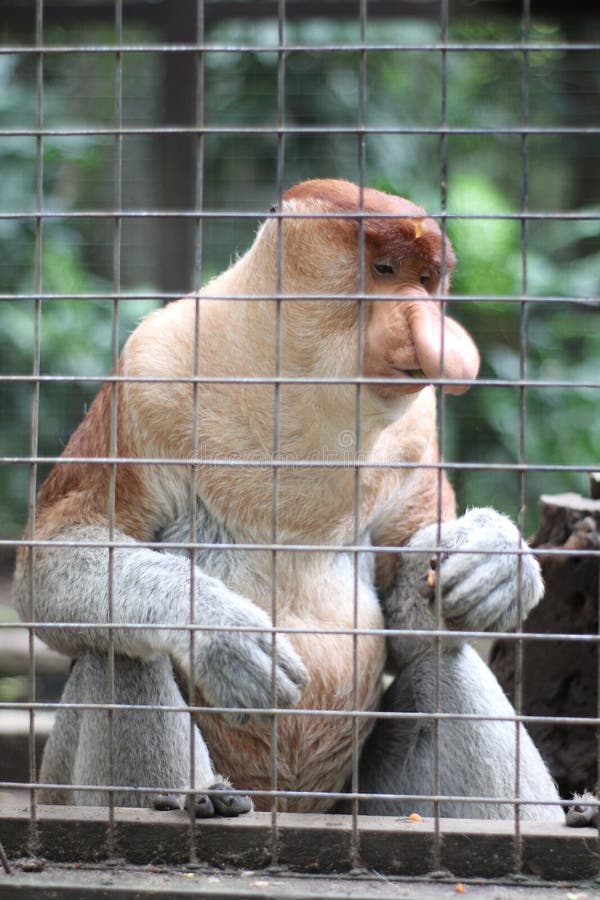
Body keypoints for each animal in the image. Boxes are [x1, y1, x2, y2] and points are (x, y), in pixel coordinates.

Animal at [14, 178, 562, 820]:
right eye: (383, 269)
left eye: (427, 280)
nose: (434, 334)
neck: (297, 384)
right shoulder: (151, 378)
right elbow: (53, 557)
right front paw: (224, 635)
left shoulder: (414, 434)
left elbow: (411, 612)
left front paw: (494, 561)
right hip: (62, 780)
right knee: (120, 656)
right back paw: (200, 800)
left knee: (443, 663)